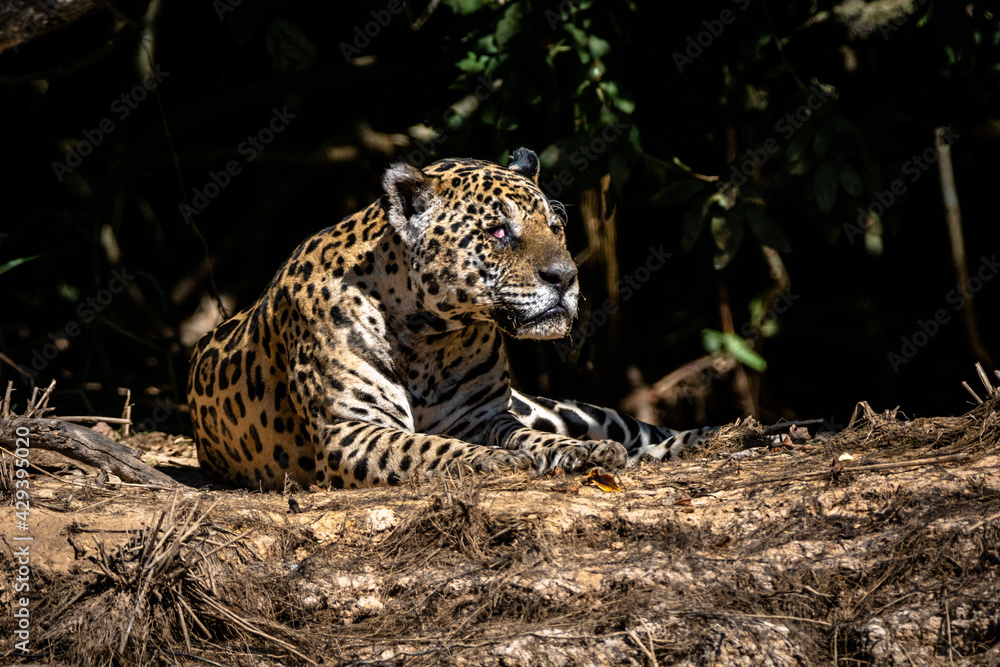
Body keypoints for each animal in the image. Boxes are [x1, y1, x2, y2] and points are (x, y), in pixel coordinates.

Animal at [187, 148, 715, 490]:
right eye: (498, 232)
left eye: (556, 227)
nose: (565, 278)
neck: (433, 339)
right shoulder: (349, 430)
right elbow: (426, 448)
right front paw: (496, 462)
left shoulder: (484, 416)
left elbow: (529, 437)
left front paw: (575, 453)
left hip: (552, 407)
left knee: (631, 430)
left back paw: (706, 436)